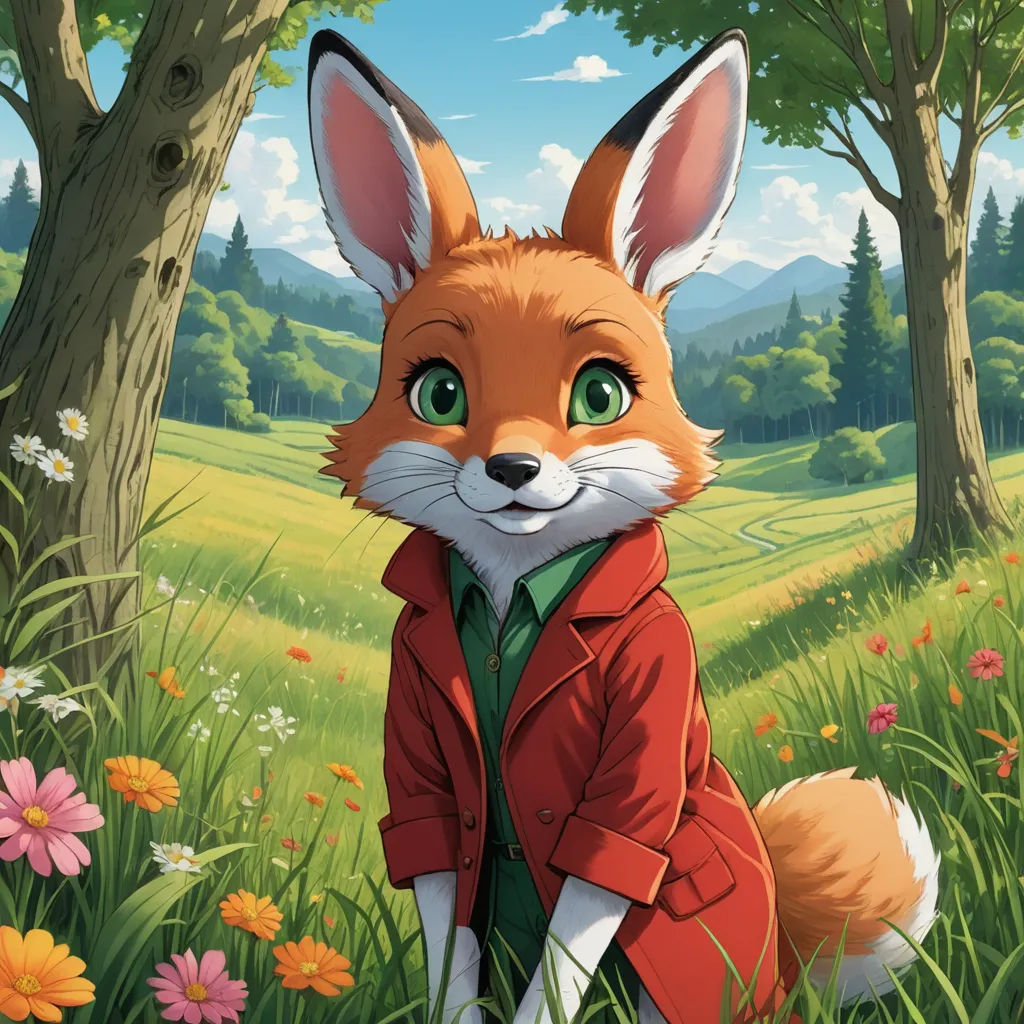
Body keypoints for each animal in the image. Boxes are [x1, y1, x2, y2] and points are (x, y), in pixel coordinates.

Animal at [307, 25, 940, 1024]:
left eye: (599, 394)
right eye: (439, 394)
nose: (513, 469)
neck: (510, 596)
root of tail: (785, 968)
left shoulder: (642, 734)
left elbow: (573, 941)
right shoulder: (423, 755)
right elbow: (448, 925)